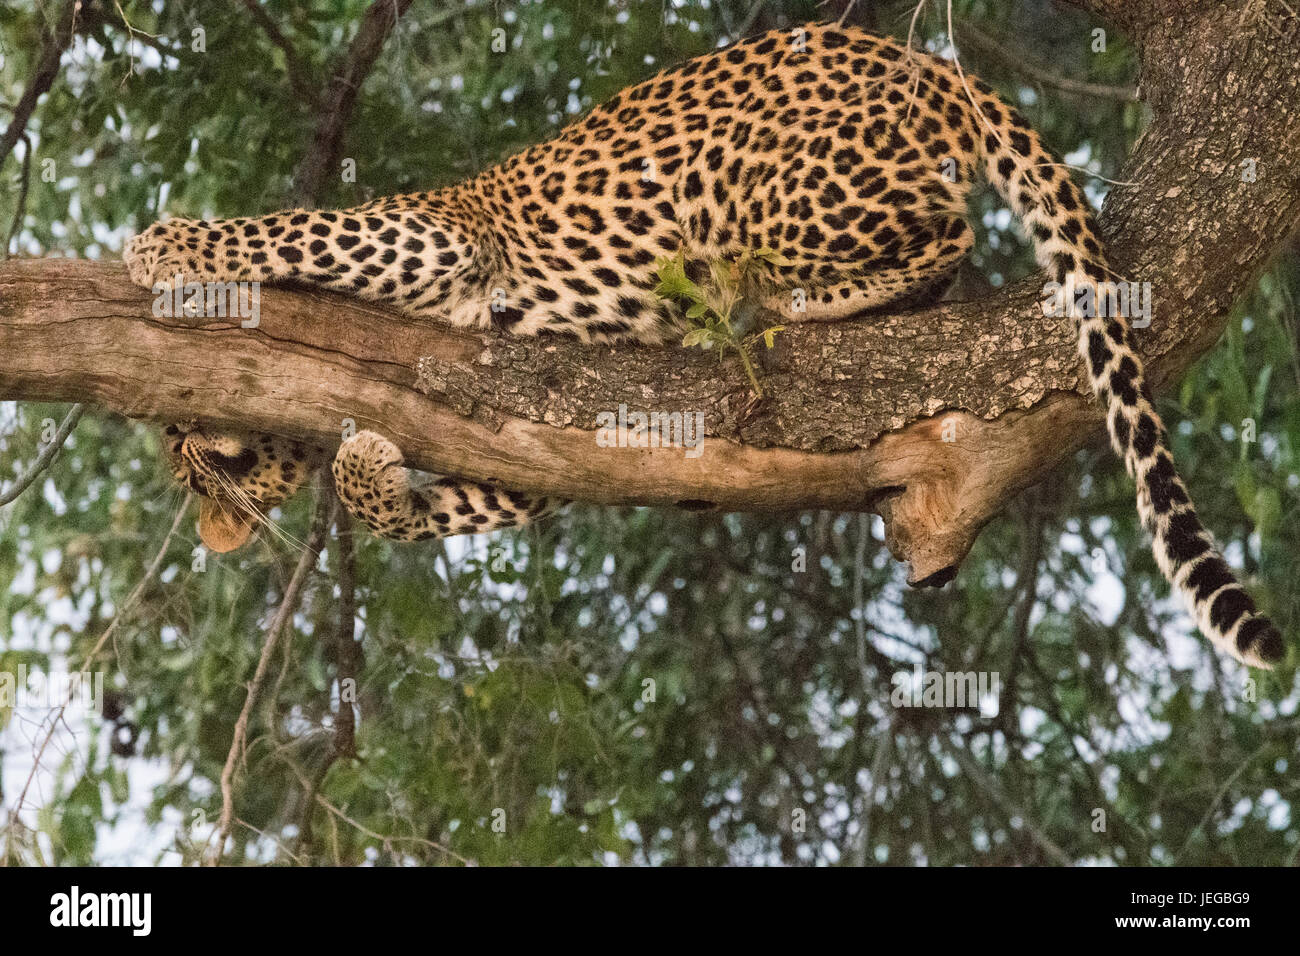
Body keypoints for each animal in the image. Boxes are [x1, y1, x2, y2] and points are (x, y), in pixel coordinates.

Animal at [124, 21, 1285, 668]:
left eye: (202, 469)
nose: (213, 538)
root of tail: (917, 58)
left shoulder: (435, 238)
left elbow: (291, 227)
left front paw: (165, 243)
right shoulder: (528, 453)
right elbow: (421, 507)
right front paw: (368, 464)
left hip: (760, 192)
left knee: (946, 232)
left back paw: (796, 306)